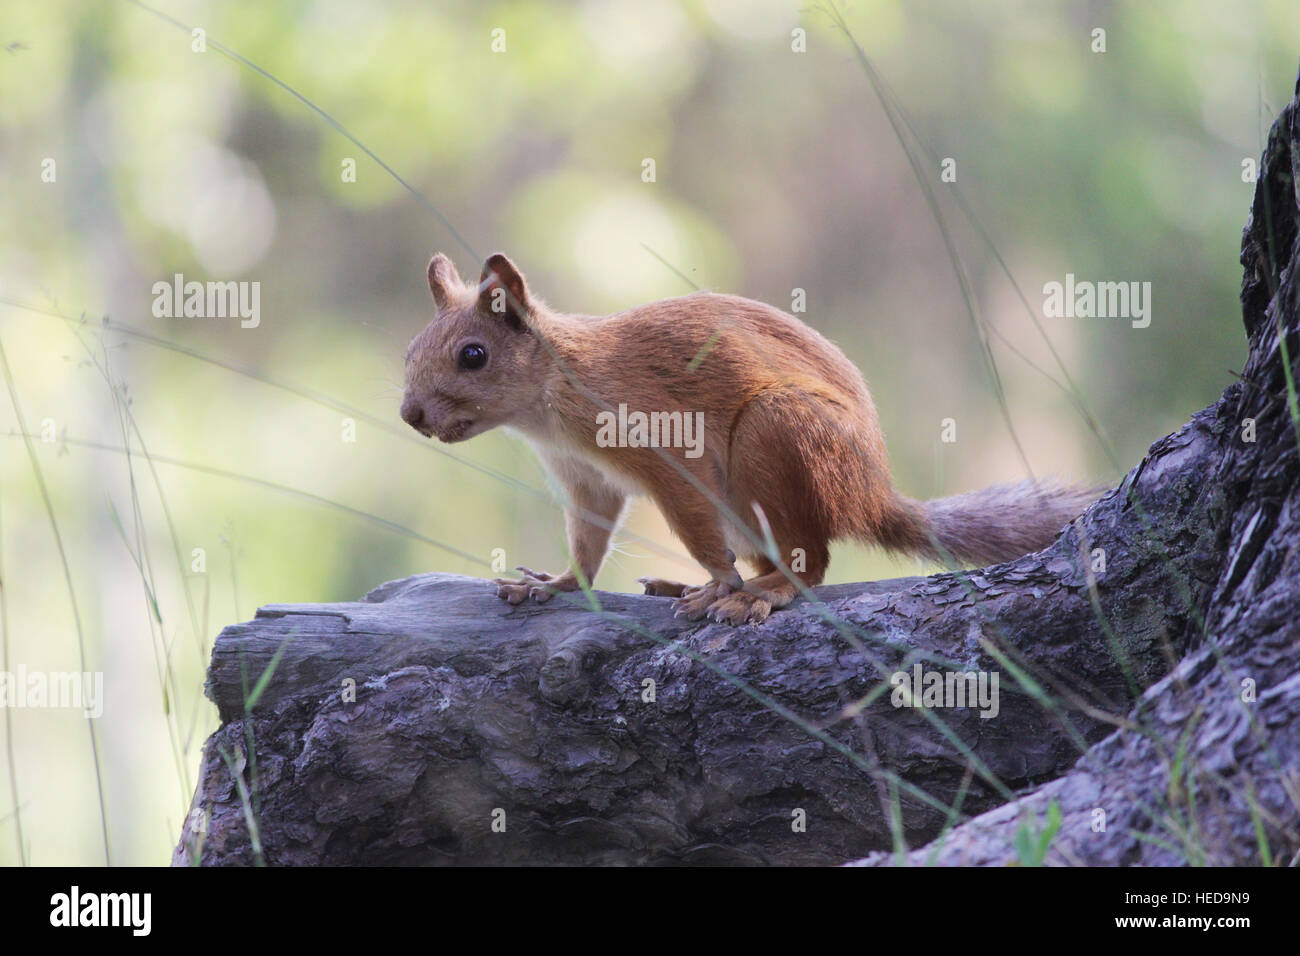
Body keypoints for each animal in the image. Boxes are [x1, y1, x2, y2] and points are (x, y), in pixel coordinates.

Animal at [401, 252, 1101, 626]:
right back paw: (694, 586)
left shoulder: (664, 446)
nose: (409, 415)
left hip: (776, 440)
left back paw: (750, 597)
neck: (550, 400)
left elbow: (695, 527)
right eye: (411, 349)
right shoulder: (585, 479)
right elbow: (589, 541)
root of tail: (871, 495)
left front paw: (717, 584)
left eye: (472, 355)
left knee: (808, 565)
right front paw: (553, 584)